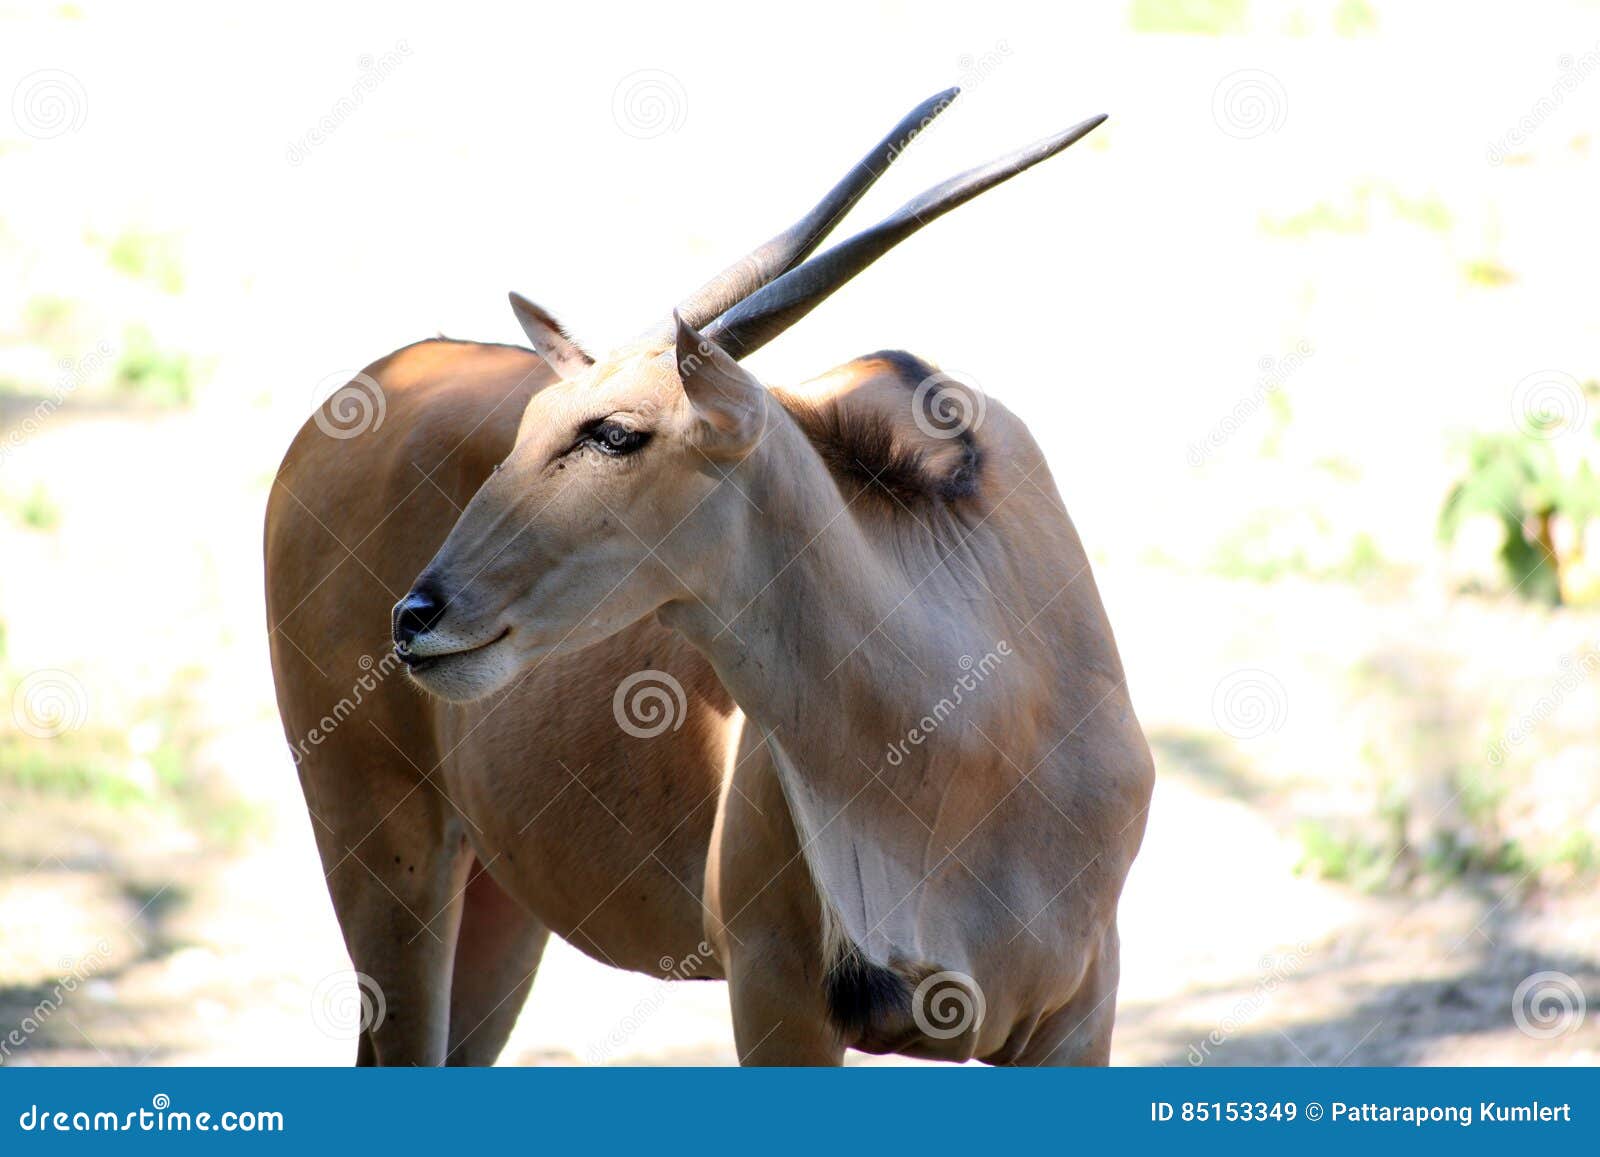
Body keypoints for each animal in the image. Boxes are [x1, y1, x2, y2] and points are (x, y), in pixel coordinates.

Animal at [265, 90, 963, 1065]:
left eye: (614, 433)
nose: (416, 616)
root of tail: (380, 378)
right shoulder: (783, 992)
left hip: (498, 899)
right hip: (390, 864)